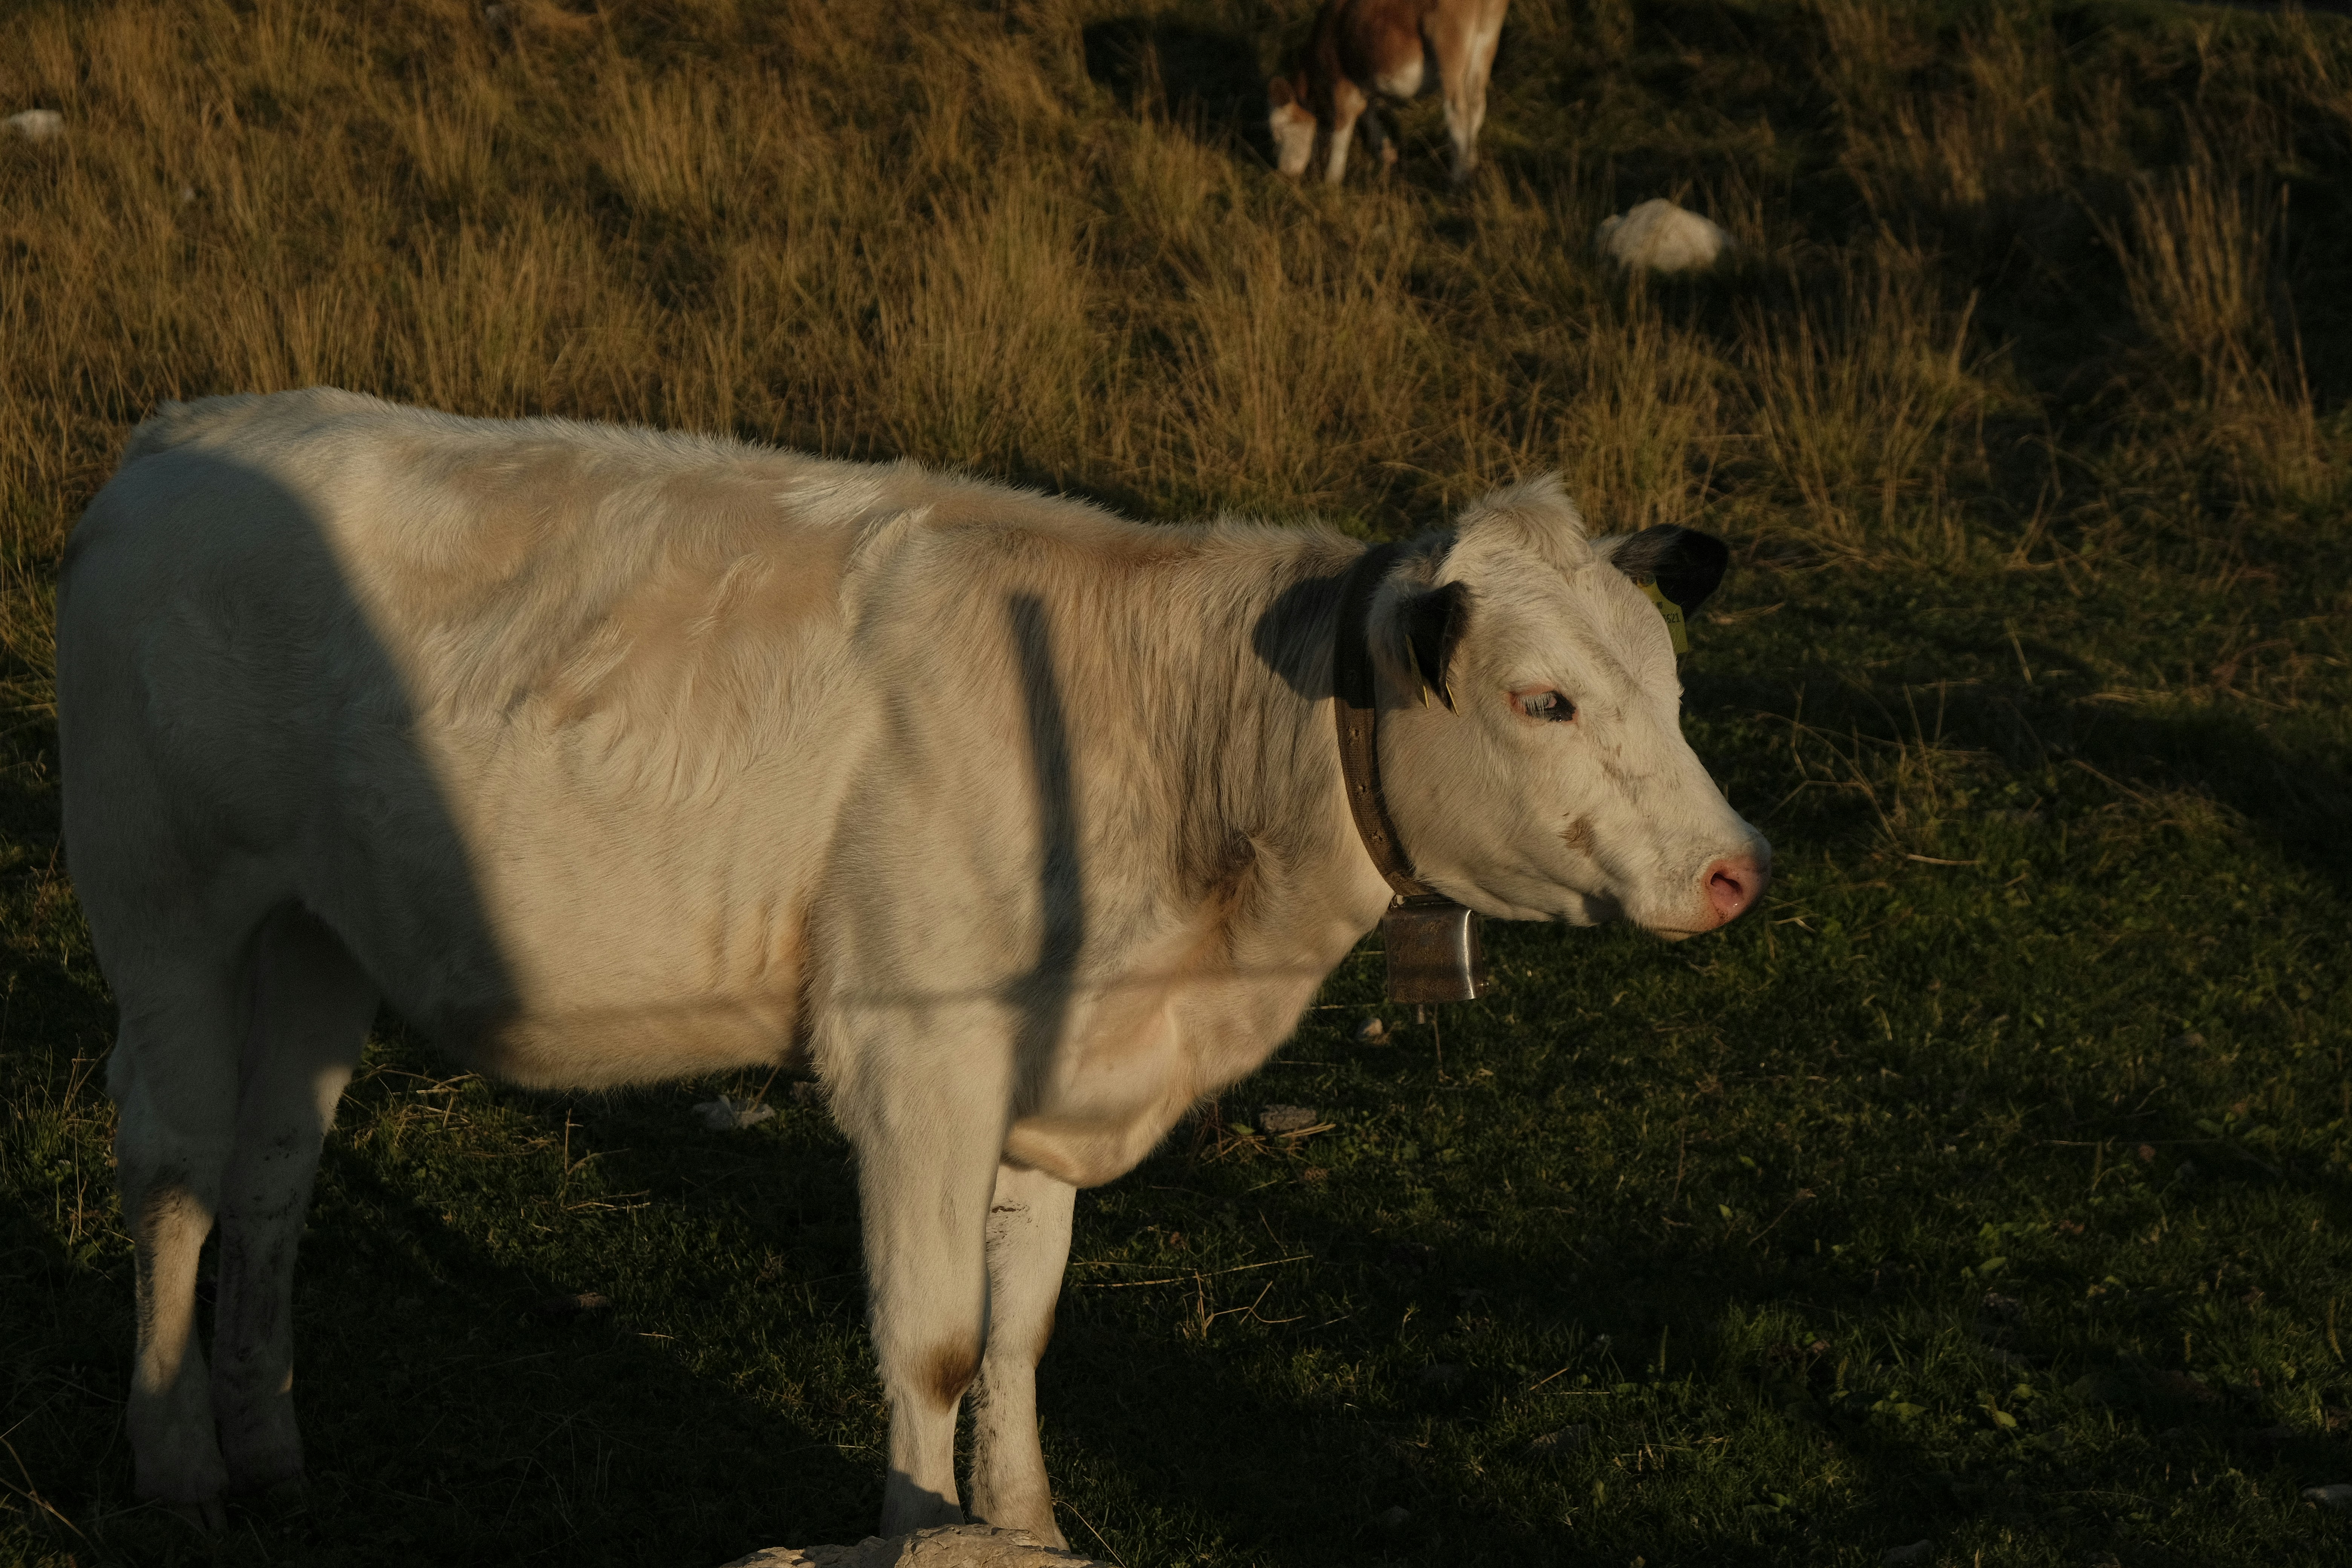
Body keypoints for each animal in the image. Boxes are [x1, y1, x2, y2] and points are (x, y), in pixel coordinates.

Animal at [57, 388, 1769, 1542]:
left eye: (1674, 682)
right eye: (1544, 699)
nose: (1735, 865)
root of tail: (182, 435)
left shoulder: (1047, 1066)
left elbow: (1020, 1328)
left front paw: (1028, 1524)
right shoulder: (916, 1055)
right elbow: (934, 1339)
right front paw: (927, 1523)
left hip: (316, 932)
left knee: (274, 1174)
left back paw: (271, 1449)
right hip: (166, 911)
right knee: (178, 1165)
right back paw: (176, 1462)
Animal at [1267, 0, 1509, 185]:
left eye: (1278, 130)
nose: (1283, 173)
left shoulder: (1342, 80)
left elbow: (1342, 129)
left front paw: (1331, 181)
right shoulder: (1364, 81)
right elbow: (1367, 112)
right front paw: (1387, 153)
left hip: (1449, 49)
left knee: (1457, 114)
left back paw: (1456, 181)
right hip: (1485, 42)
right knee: (1477, 104)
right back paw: (1471, 165)